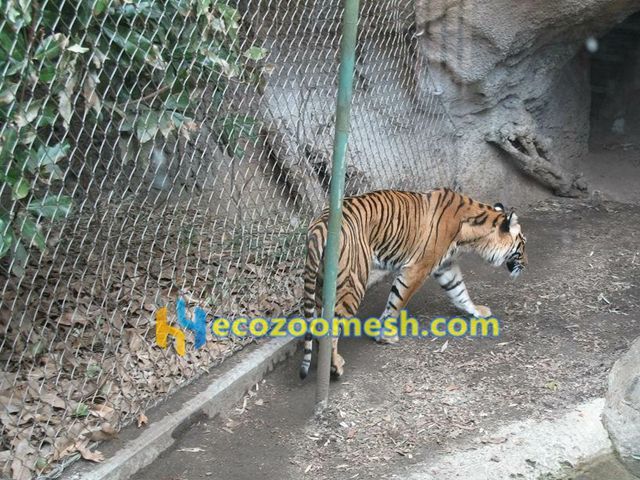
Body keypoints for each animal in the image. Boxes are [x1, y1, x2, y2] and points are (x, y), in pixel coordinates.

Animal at [299, 188, 527, 379]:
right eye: (523, 244)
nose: (526, 264)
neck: (472, 234)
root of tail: (319, 224)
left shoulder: (445, 267)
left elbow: (460, 292)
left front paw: (477, 311)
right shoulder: (416, 269)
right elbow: (396, 302)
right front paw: (384, 336)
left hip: (322, 283)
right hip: (352, 283)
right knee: (330, 326)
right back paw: (335, 366)